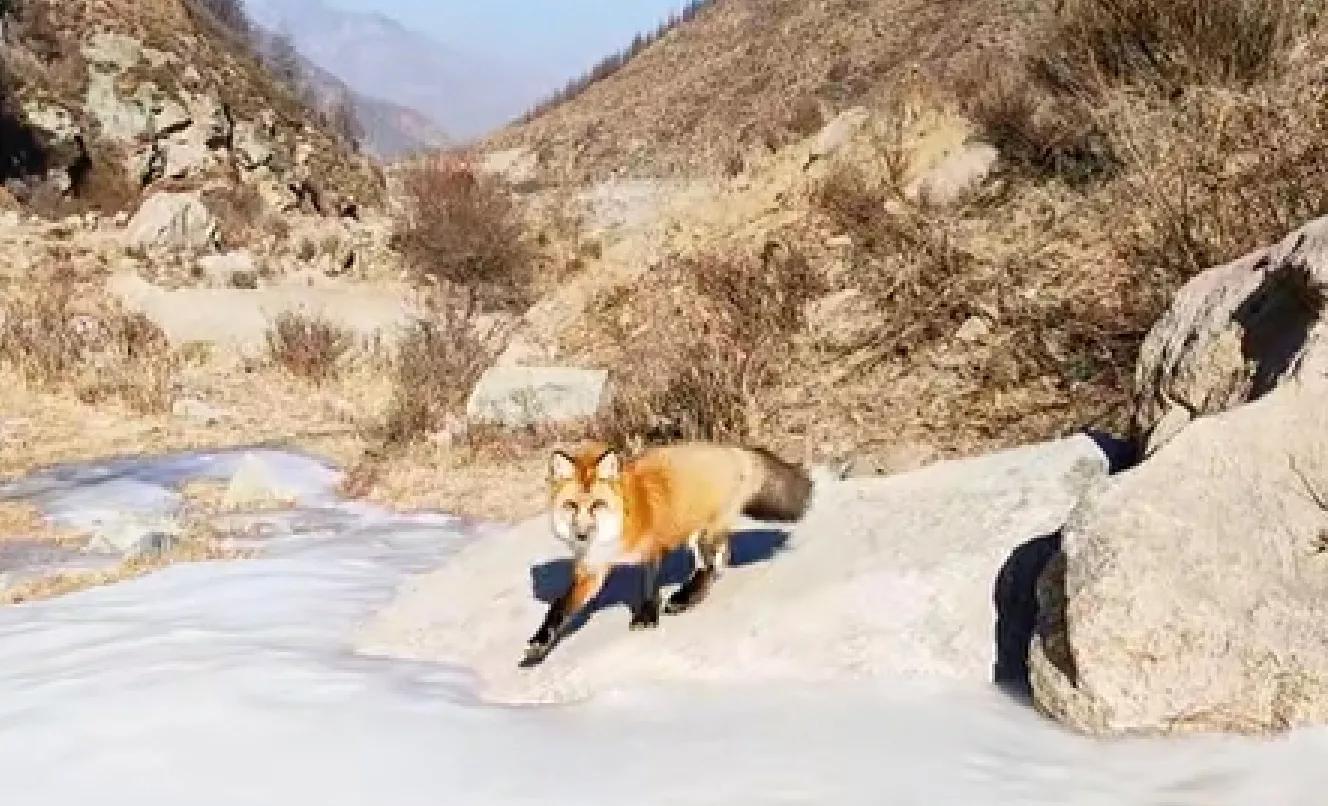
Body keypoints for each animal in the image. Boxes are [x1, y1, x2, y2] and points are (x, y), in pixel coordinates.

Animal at [520, 440, 814, 667]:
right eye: (571, 505)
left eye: (597, 505)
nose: (581, 535)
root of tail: (735, 450)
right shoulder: (593, 570)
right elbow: (558, 608)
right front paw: (540, 644)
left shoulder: (651, 549)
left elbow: (649, 587)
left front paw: (647, 617)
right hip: (700, 536)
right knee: (721, 560)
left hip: (702, 535)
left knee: (709, 566)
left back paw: (683, 598)